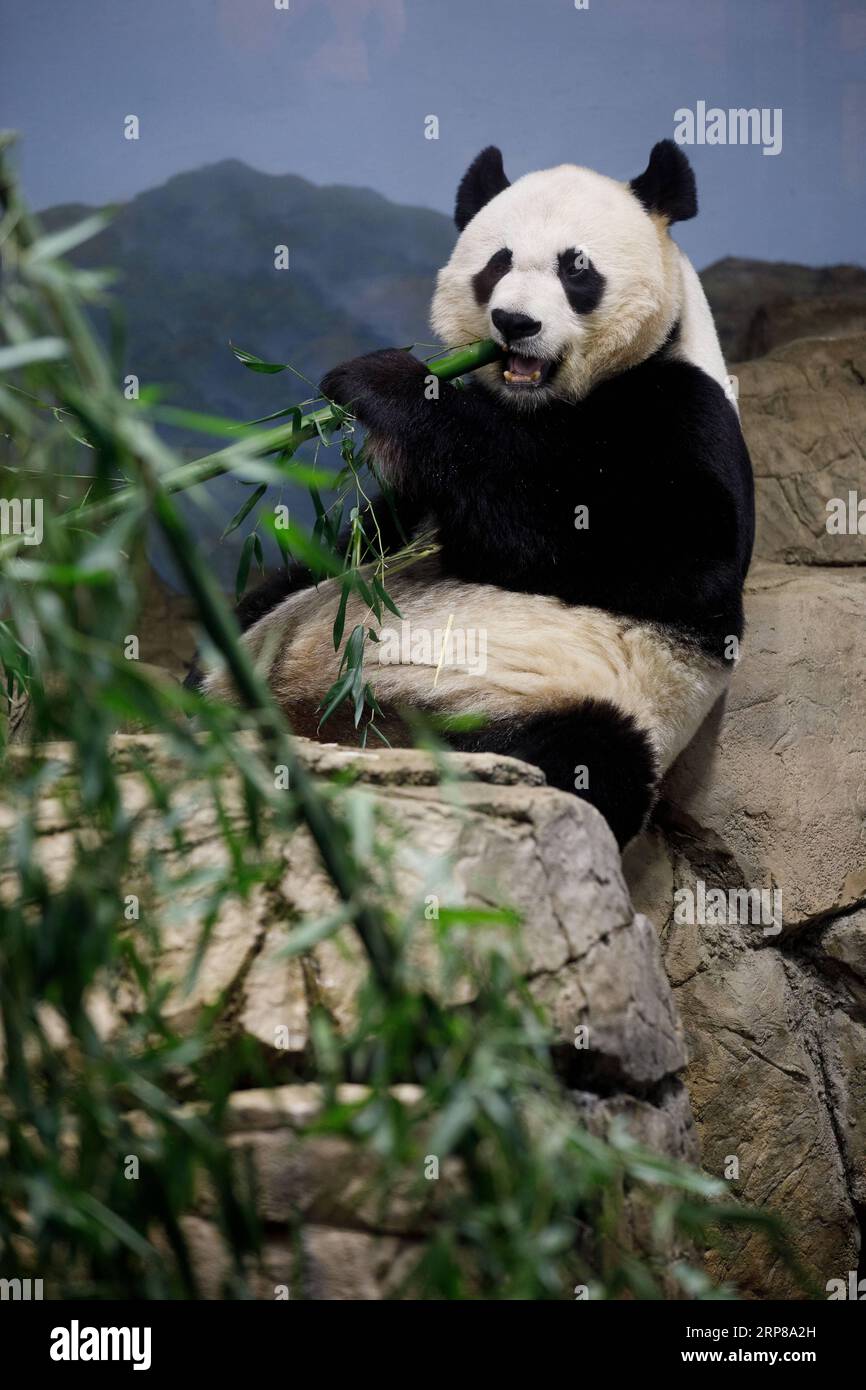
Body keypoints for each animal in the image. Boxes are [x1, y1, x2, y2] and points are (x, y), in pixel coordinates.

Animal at [199, 140, 754, 850]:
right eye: (498, 263)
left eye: (576, 268)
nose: (515, 323)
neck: (541, 404)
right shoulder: (404, 510)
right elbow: (374, 534)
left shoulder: (683, 412)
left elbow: (669, 552)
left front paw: (385, 383)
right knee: (266, 599)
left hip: (576, 702)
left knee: (593, 758)